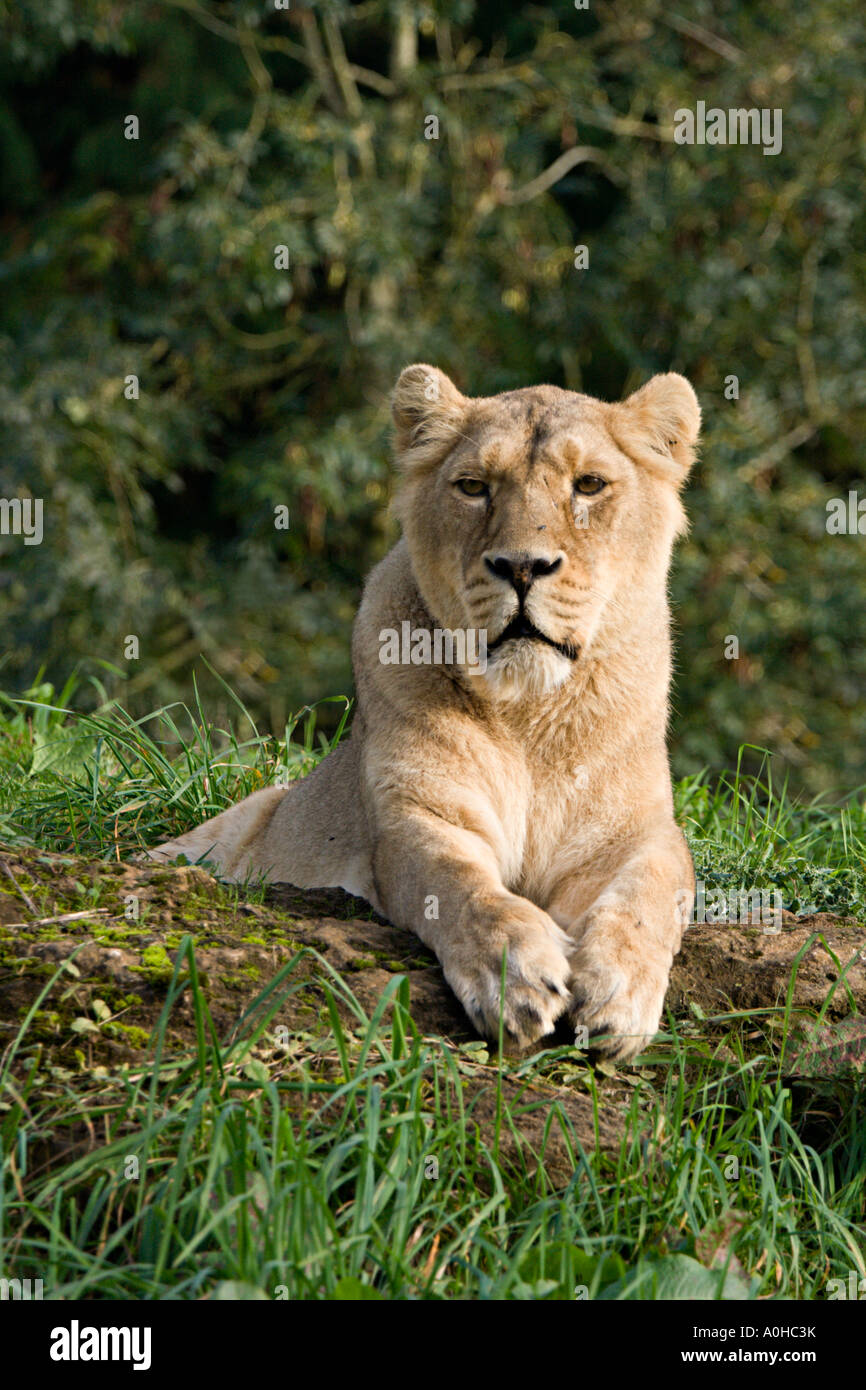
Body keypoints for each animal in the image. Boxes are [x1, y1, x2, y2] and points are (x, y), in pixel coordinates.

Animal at [149, 364, 700, 1060]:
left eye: (590, 485)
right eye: (473, 487)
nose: (523, 566)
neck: (529, 712)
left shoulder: (635, 831)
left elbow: (653, 892)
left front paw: (618, 996)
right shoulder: (417, 814)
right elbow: (461, 887)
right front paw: (515, 976)